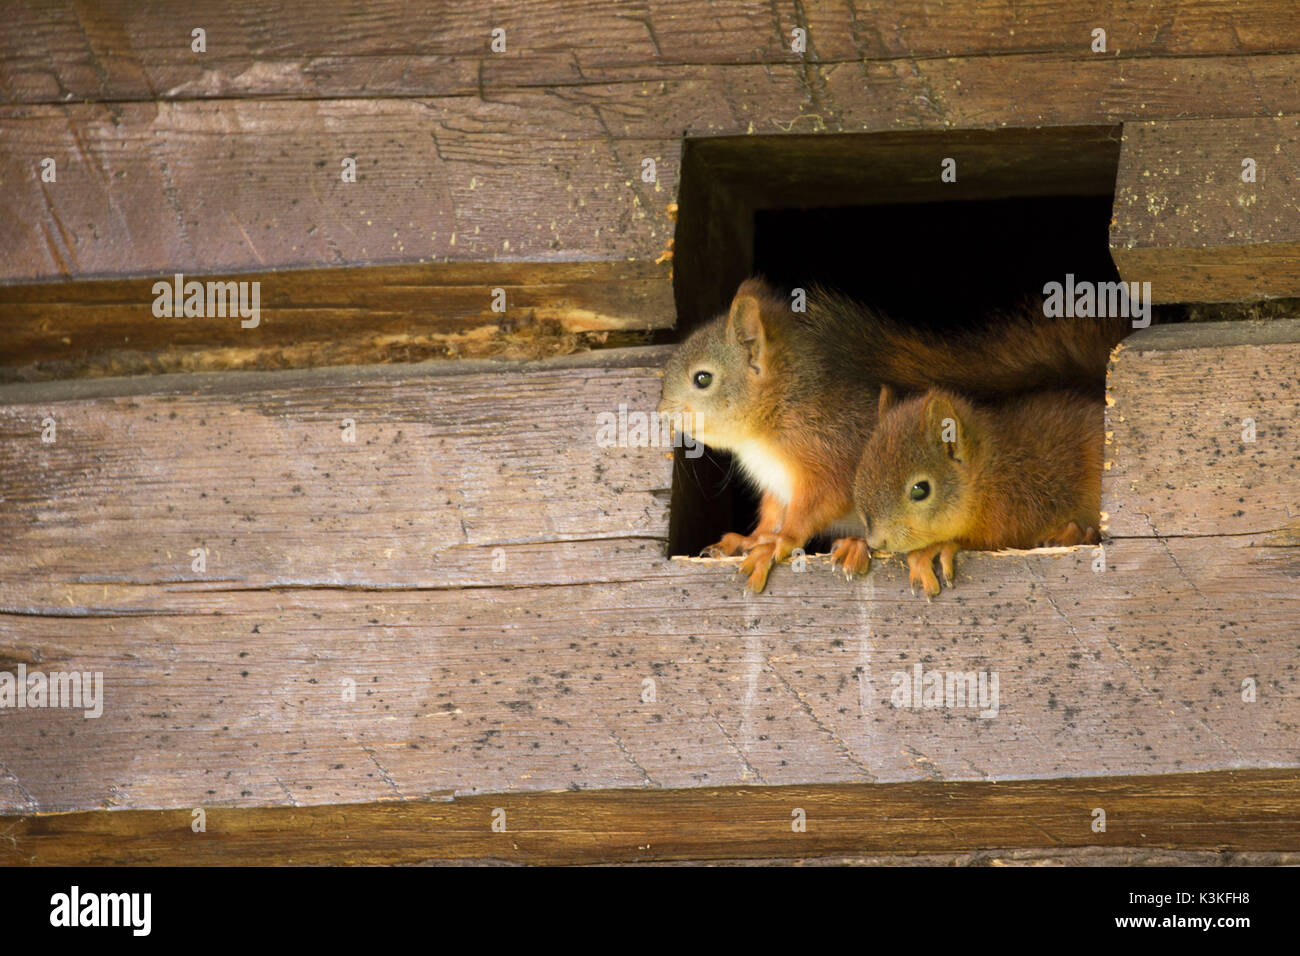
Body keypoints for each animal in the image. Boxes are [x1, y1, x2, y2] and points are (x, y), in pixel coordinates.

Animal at [852, 385, 1103, 599]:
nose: (875, 541)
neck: (988, 475)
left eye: (921, 490)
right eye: (860, 474)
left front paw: (932, 550)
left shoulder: (1018, 505)